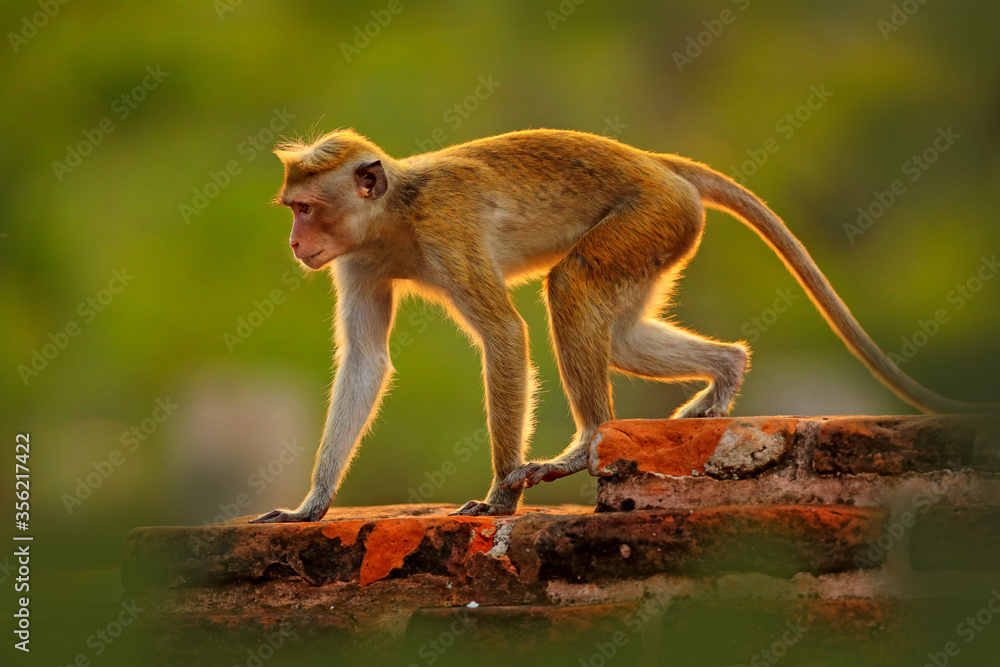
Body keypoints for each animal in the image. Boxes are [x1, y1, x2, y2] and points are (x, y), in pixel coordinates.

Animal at [250, 128, 996, 523]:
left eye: (306, 209)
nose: (292, 242)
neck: (396, 212)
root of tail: (656, 161)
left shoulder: (444, 229)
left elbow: (505, 337)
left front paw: (499, 495)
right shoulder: (359, 260)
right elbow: (367, 362)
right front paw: (313, 503)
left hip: (651, 214)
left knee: (572, 286)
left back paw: (586, 446)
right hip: (663, 235)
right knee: (621, 333)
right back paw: (725, 371)